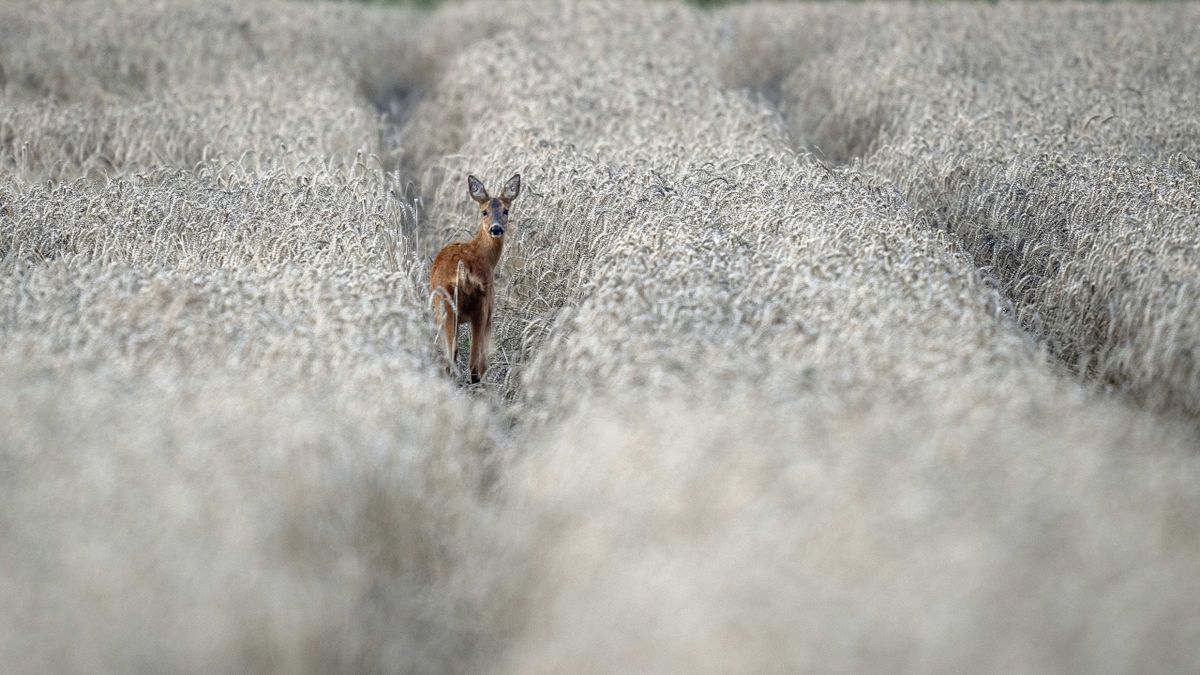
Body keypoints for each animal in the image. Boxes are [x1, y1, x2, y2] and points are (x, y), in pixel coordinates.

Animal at [430, 173, 521, 384]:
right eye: (484, 212)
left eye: (506, 210)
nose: (496, 229)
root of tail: (462, 272)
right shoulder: (489, 308)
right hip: (480, 303)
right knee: (473, 362)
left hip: (443, 307)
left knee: (452, 355)